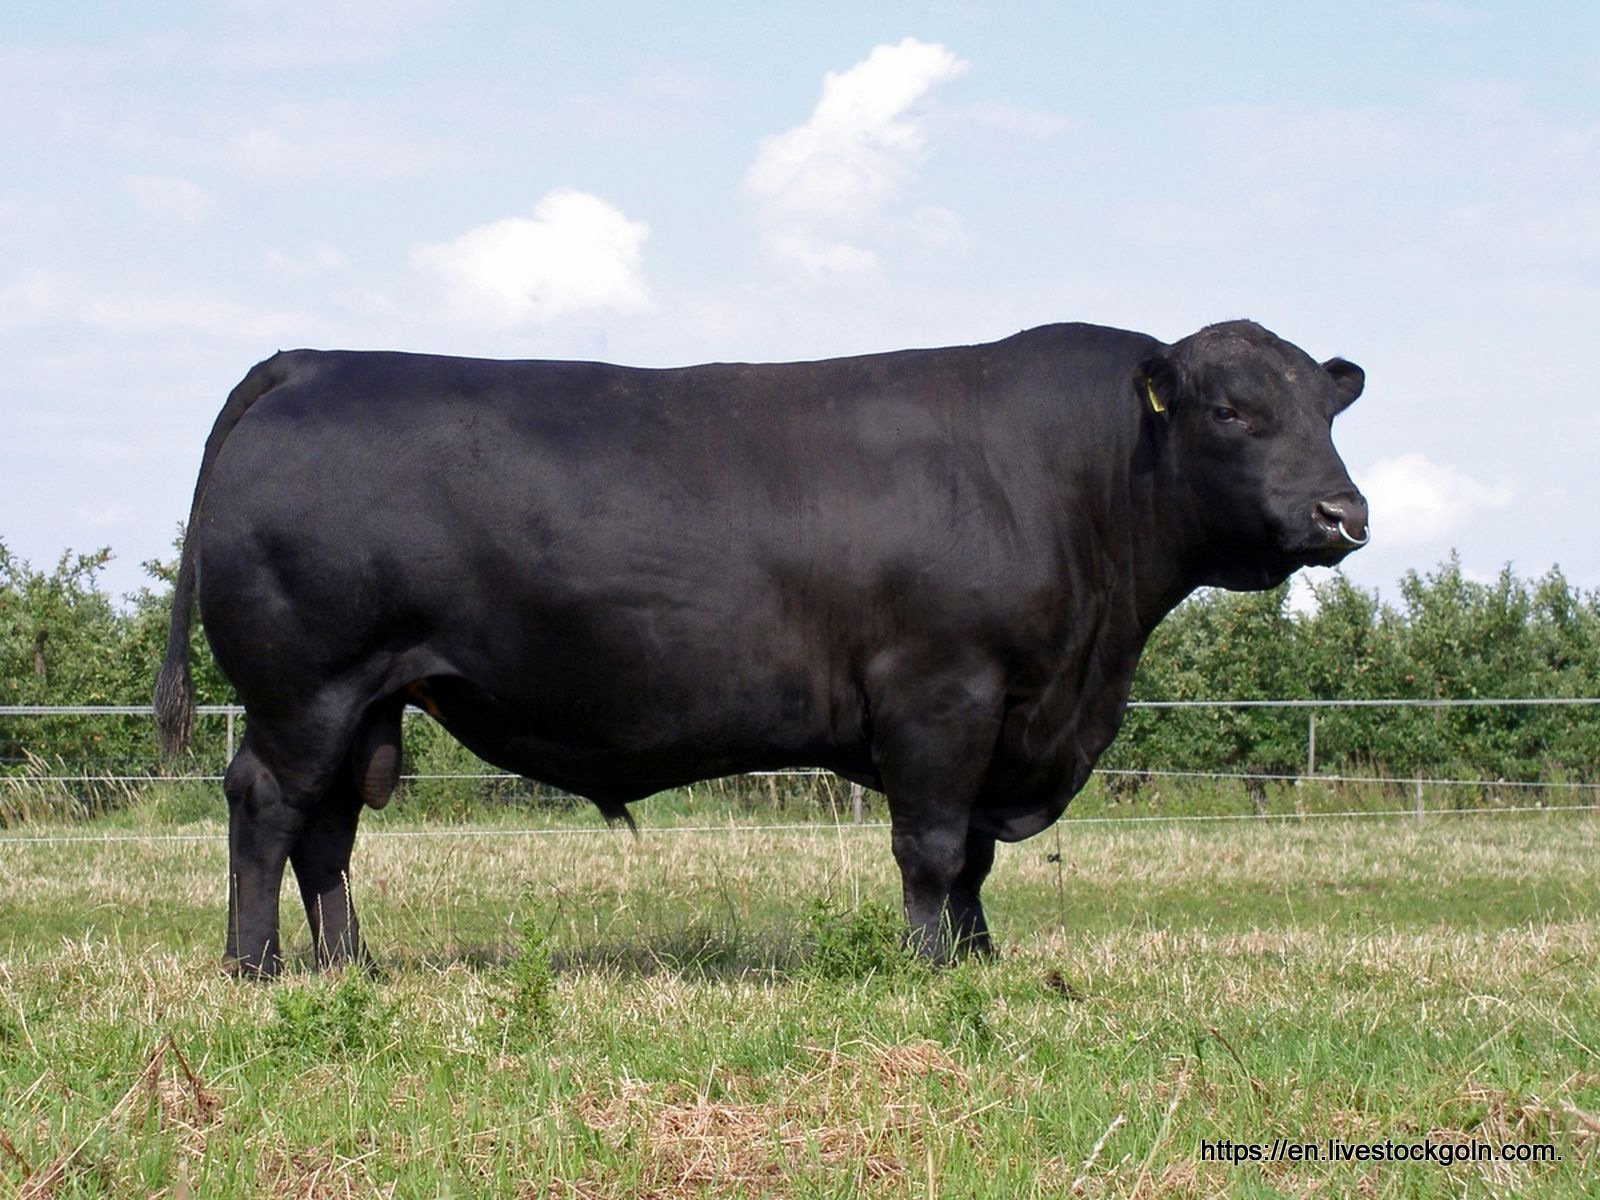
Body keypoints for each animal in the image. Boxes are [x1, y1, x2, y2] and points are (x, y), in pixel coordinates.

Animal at [154, 319, 1369, 977]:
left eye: (1329, 409)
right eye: (1229, 410)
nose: (1342, 513)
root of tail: (315, 362)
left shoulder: (1007, 712)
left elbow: (974, 858)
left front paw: (980, 960)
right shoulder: (943, 692)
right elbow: (934, 848)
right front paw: (930, 969)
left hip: (365, 698)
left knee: (329, 830)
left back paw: (349, 965)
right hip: (304, 687)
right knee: (267, 804)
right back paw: (256, 968)